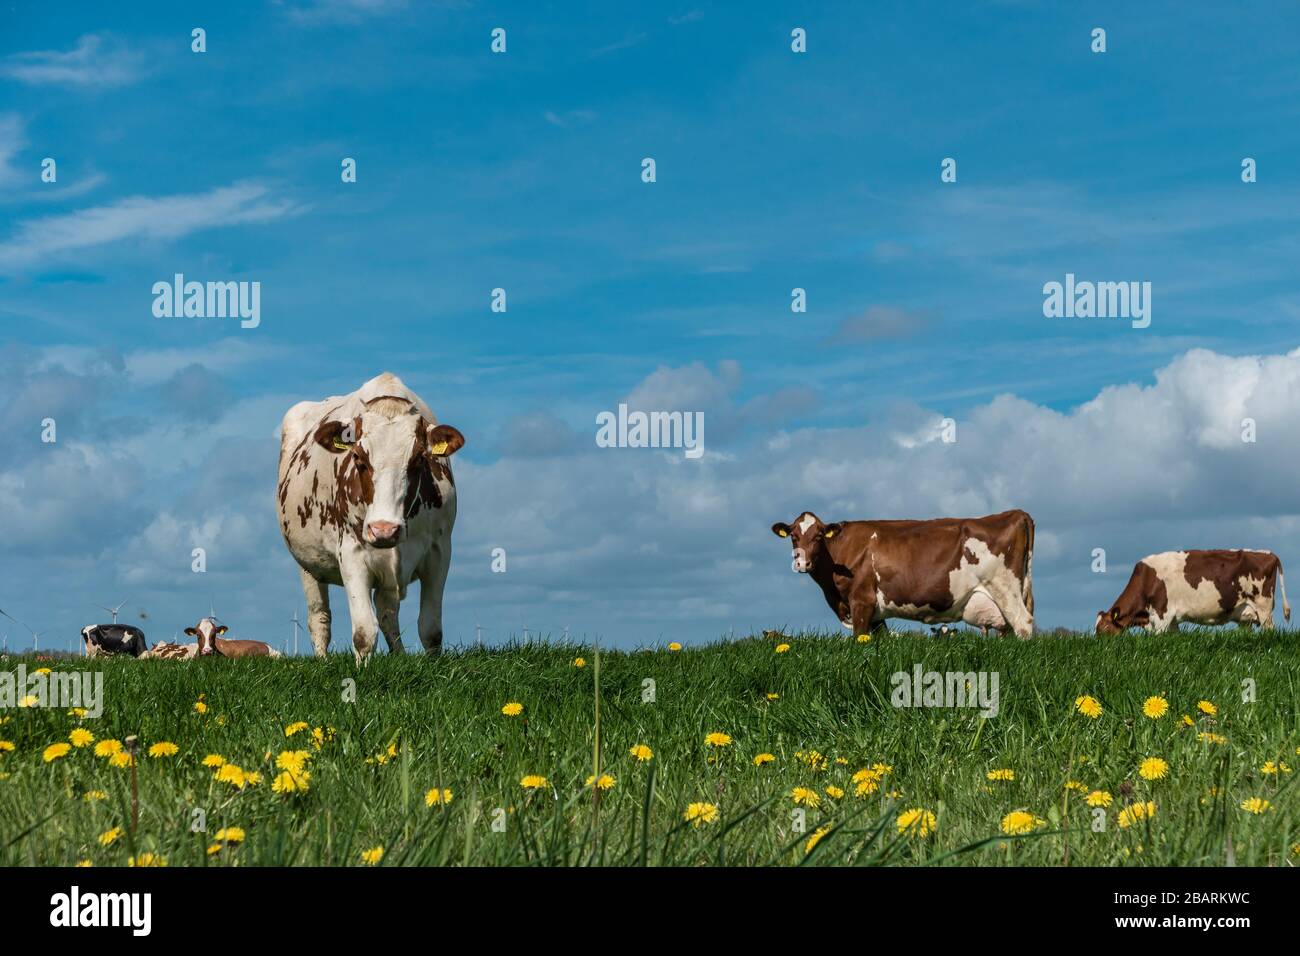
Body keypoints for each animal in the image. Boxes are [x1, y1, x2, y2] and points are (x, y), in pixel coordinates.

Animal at [277, 372, 464, 663]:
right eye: (357, 457)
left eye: (419, 459)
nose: (383, 530)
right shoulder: (351, 553)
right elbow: (364, 633)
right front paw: (362, 668)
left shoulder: (440, 551)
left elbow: (431, 629)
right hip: (307, 565)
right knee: (319, 618)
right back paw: (322, 660)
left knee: (388, 614)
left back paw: (398, 655)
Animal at [771, 509, 1036, 638]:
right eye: (793, 536)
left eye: (818, 536)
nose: (801, 563)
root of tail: (1016, 513)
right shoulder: (875, 614)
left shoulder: (861, 601)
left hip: (1005, 588)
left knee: (1023, 624)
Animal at [1096, 550, 1291, 634]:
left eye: (1104, 630)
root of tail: (1269, 553)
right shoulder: (1171, 621)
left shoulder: (1162, 615)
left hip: (1263, 607)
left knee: (1270, 631)